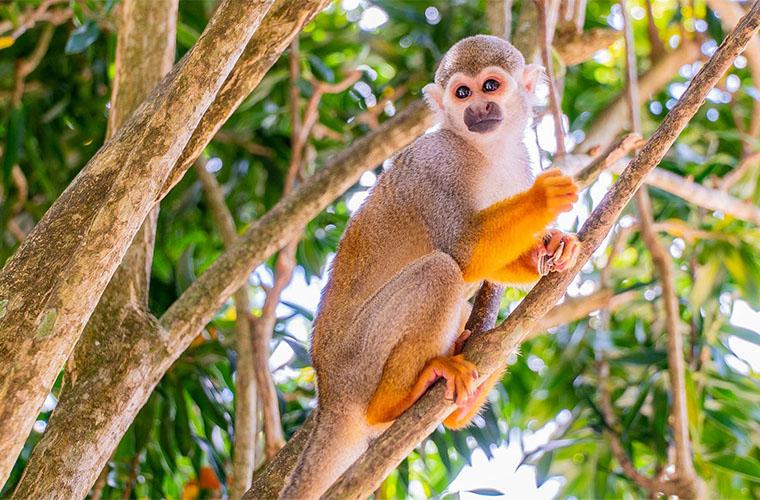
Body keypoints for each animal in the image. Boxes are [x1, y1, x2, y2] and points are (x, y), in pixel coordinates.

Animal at [280, 35, 579, 499]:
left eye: (490, 86)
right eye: (462, 93)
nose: (478, 109)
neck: (483, 150)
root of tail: (327, 394)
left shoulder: (518, 162)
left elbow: (487, 264)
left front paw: (553, 247)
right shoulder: (438, 163)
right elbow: (463, 251)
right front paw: (543, 199)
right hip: (358, 362)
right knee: (439, 271)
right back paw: (398, 400)